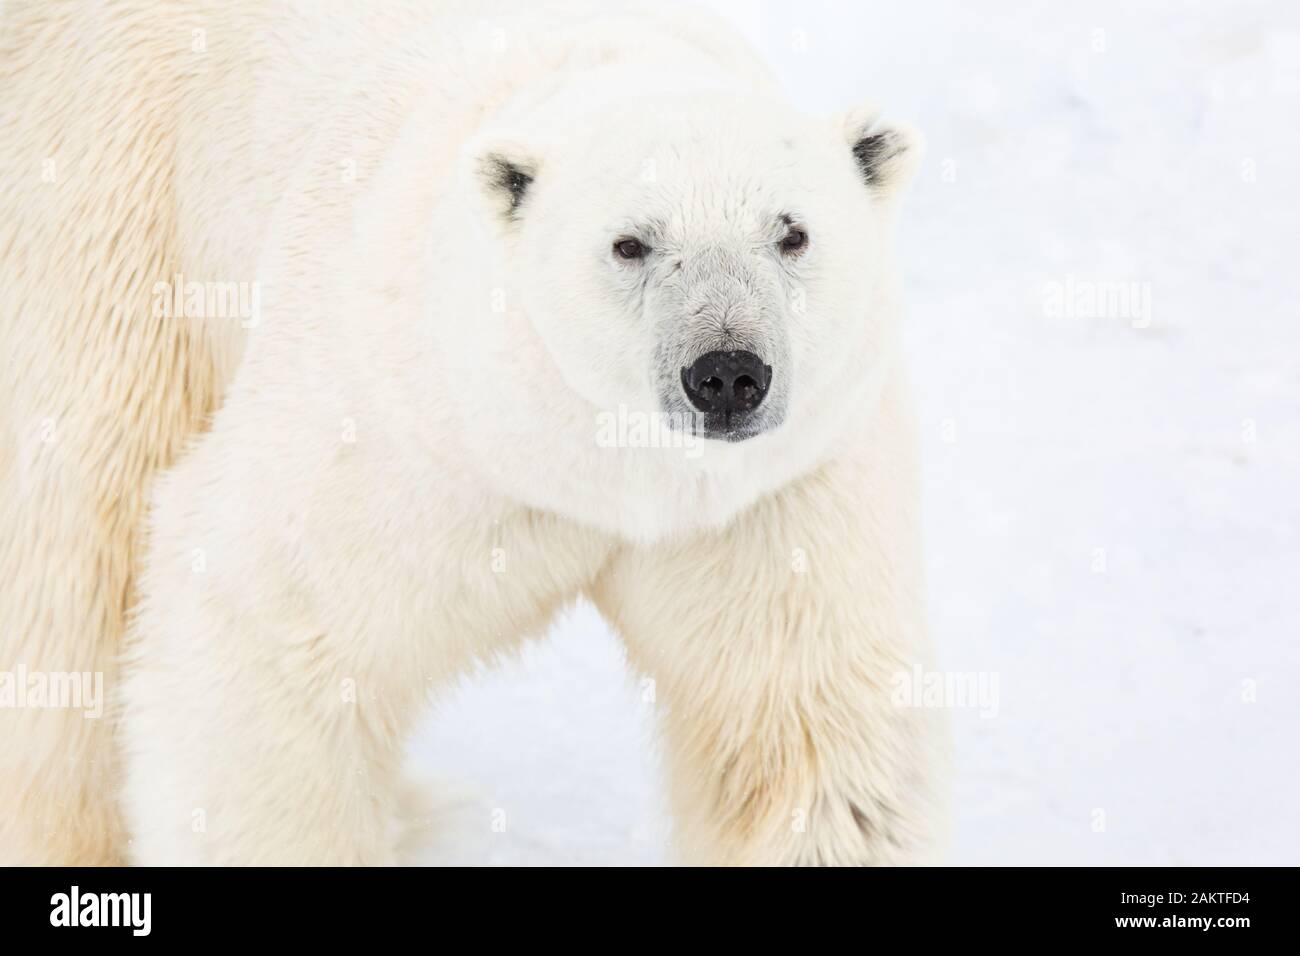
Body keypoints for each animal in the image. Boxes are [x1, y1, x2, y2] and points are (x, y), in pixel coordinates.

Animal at [0, 0, 947, 865]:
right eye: (630, 243)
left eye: (792, 233)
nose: (726, 373)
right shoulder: (397, 434)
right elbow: (266, 632)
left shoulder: (771, 493)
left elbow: (803, 727)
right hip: (110, 217)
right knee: (73, 553)